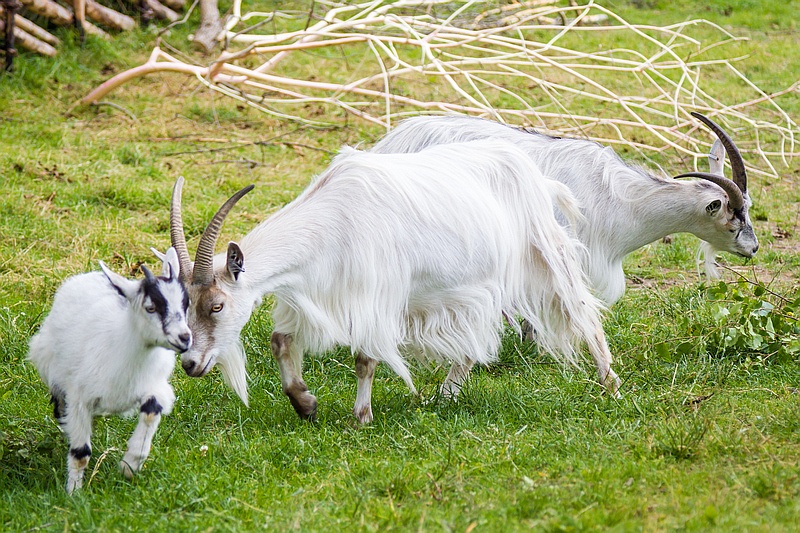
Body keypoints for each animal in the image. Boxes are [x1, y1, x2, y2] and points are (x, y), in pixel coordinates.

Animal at [28, 248, 191, 493]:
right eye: (151, 307)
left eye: (186, 304)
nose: (185, 338)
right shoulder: (80, 398)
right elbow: (80, 453)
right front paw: (73, 493)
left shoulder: (156, 387)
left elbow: (151, 410)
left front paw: (128, 466)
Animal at [168, 139, 619, 424]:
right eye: (186, 304)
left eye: (218, 305)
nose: (190, 364)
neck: (334, 215)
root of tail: (536, 176)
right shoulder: (311, 295)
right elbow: (280, 341)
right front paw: (306, 404)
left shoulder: (374, 296)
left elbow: (365, 357)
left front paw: (361, 418)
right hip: (471, 283)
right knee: (476, 334)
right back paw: (445, 394)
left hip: (544, 252)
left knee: (581, 309)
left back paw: (610, 385)